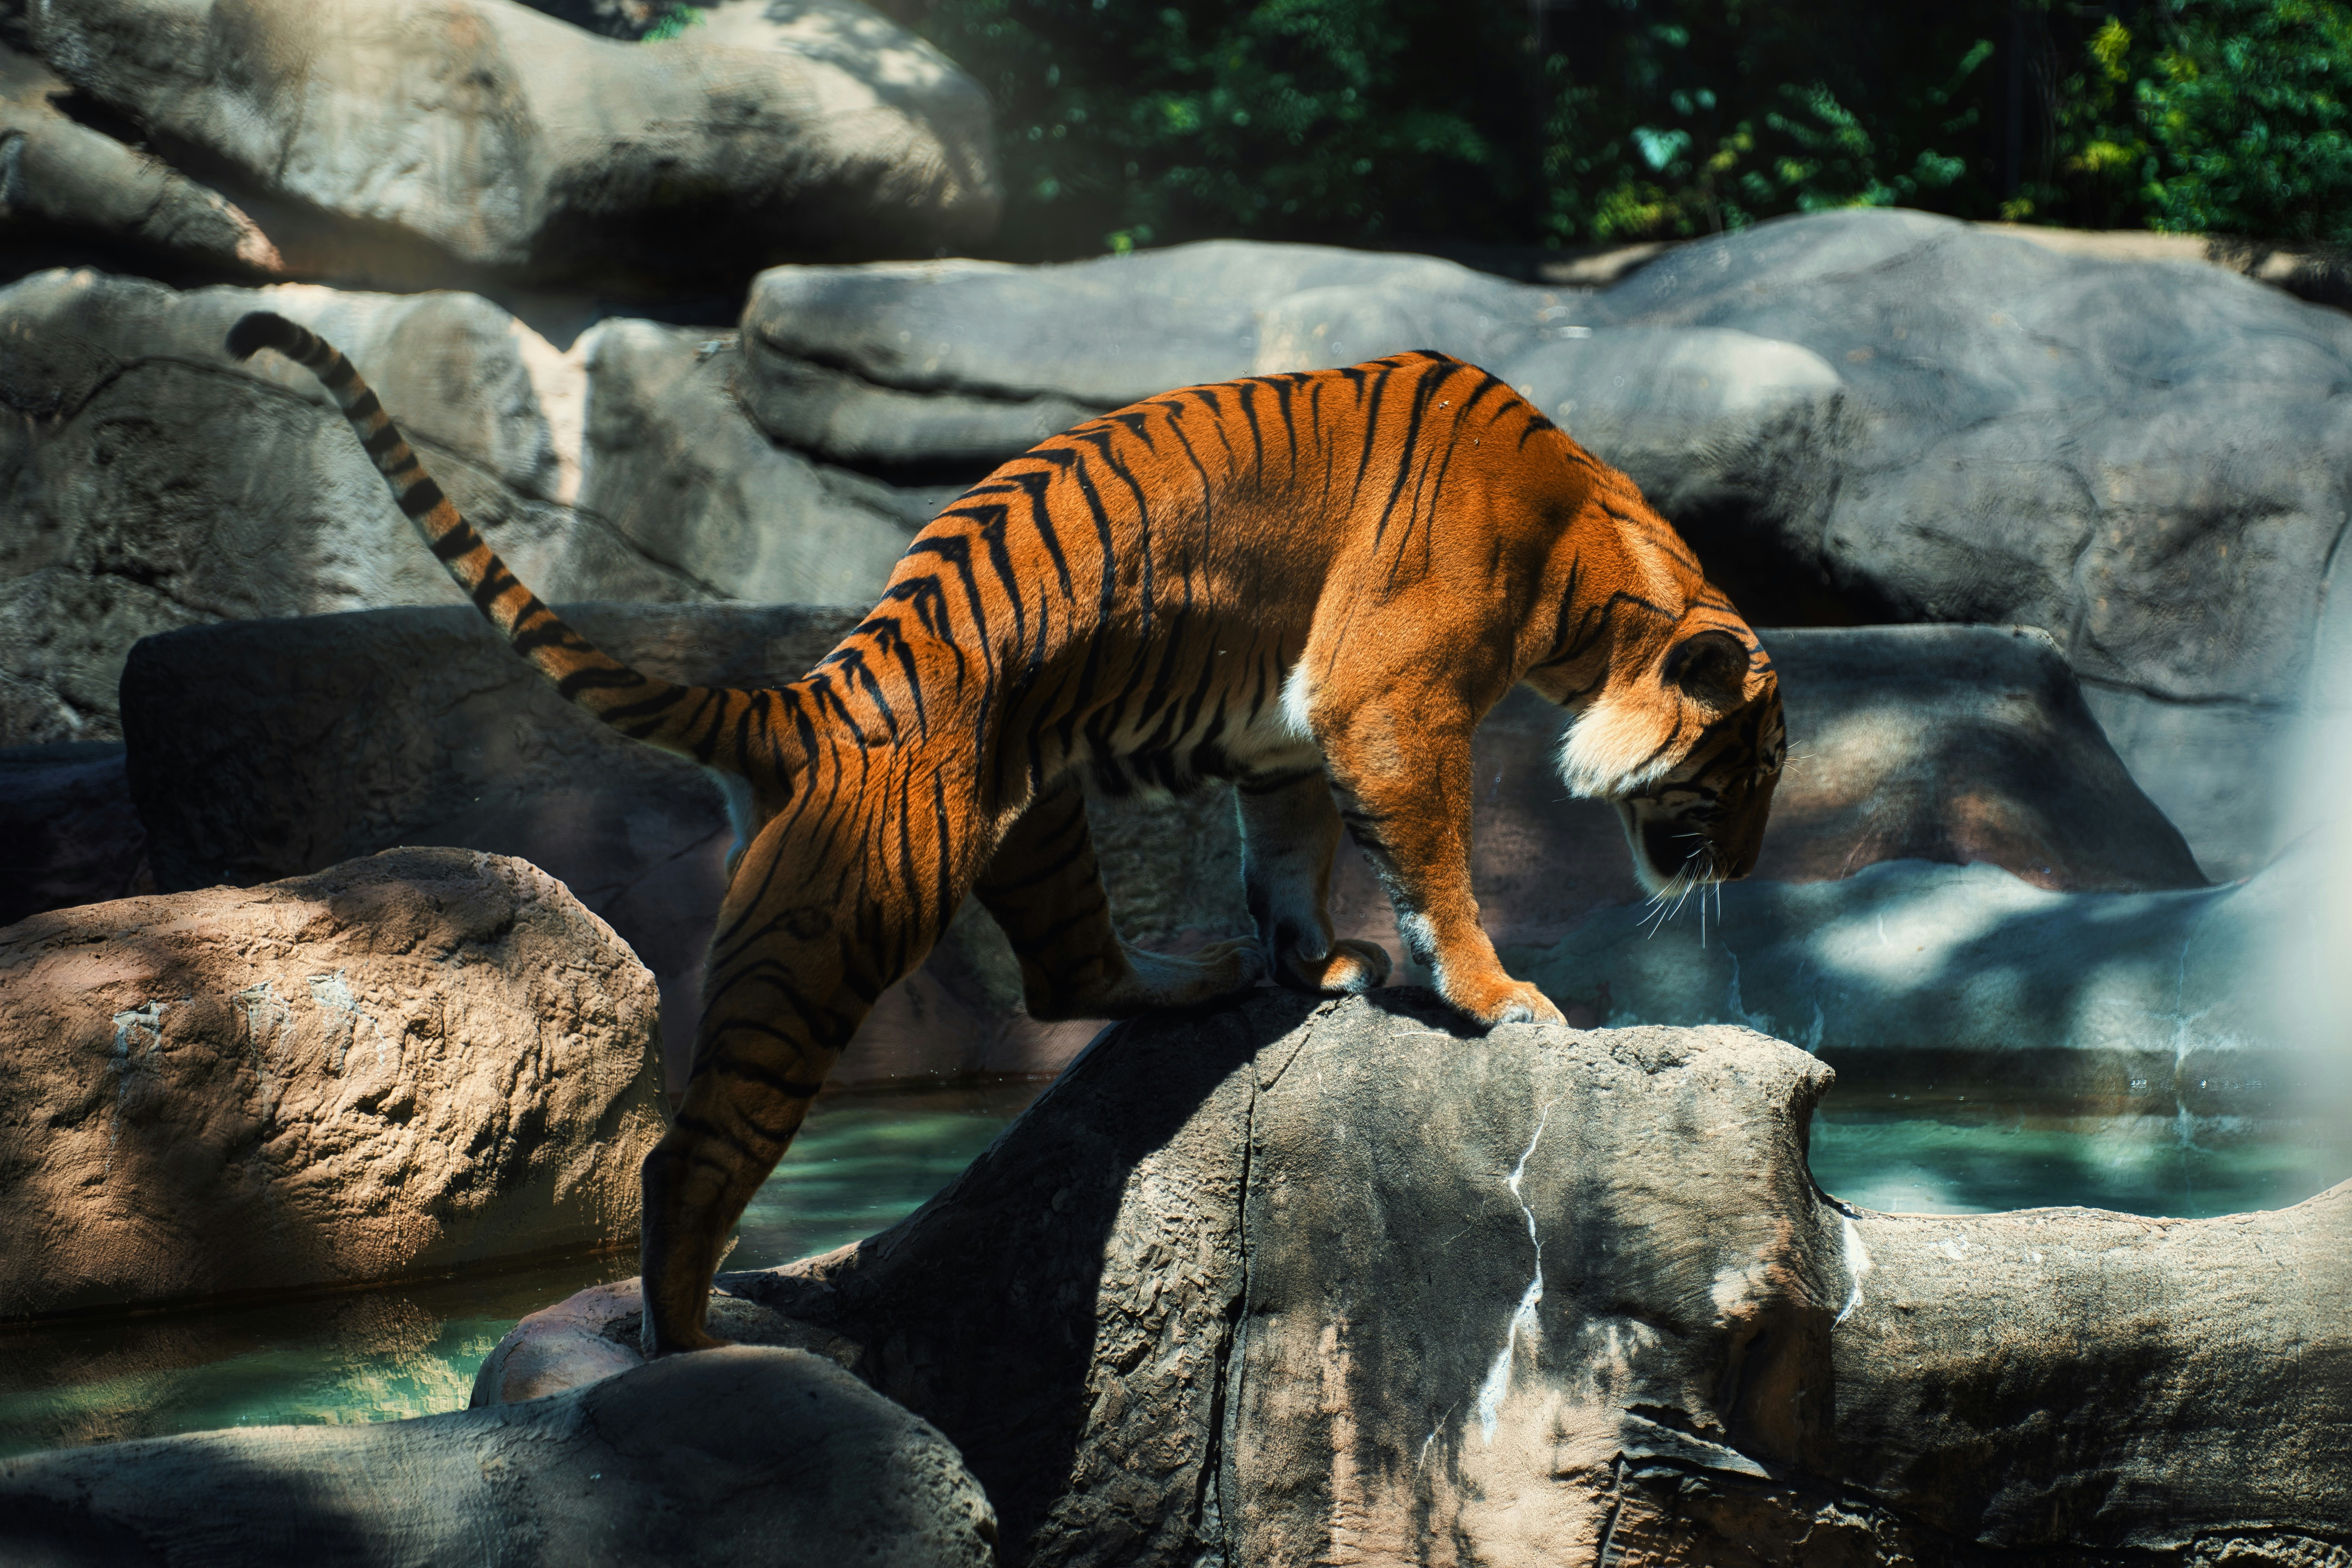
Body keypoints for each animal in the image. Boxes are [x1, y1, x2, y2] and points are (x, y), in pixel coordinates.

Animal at [226, 312, 1785, 1355]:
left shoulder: (1291, 731)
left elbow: (1287, 849)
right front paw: (1499, 993)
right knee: (693, 1153)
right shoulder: (1390, 704)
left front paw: (1315, 962)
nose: (1751, 861)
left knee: (1067, 972)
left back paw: (1194, 972)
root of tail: (801, 700)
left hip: (1033, 813)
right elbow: (1434, 864)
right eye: (1755, 765)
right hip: (835, 930)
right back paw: (691, 1341)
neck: (1593, 575)